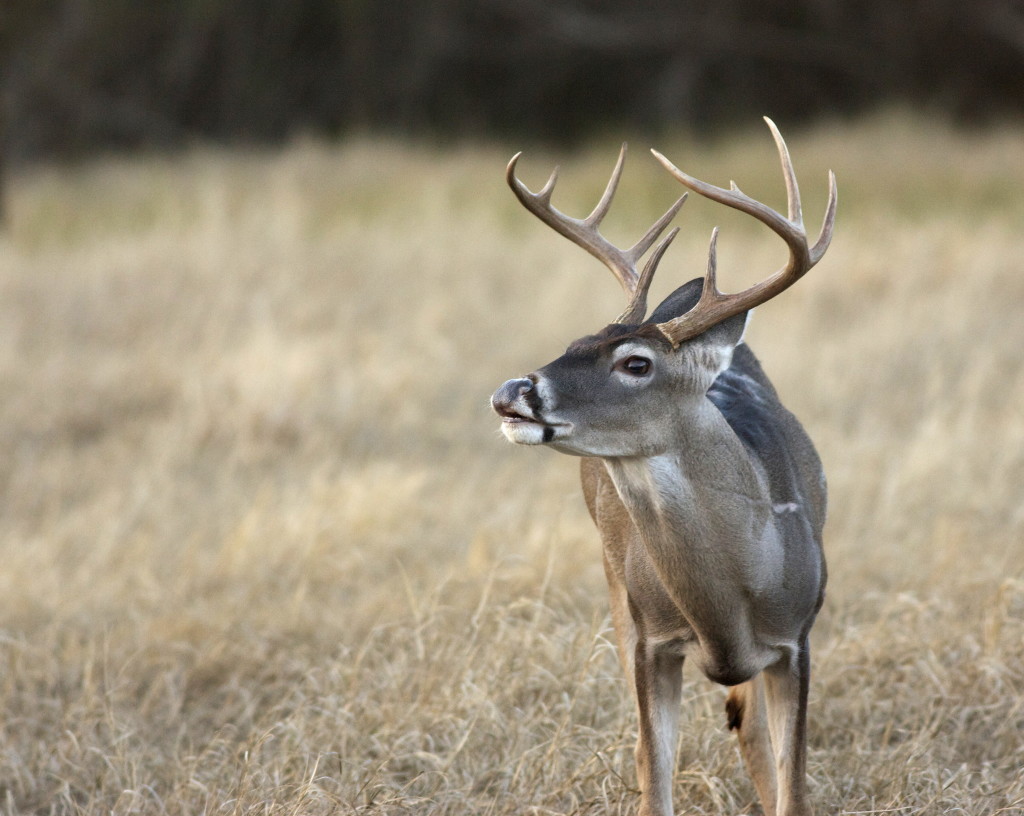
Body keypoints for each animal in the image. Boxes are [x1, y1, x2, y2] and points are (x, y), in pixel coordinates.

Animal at [490, 118, 836, 816]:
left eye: (635, 362)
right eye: (573, 343)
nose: (514, 390)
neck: (734, 594)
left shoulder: (799, 639)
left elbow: (794, 786)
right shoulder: (650, 640)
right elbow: (656, 777)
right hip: (614, 591)